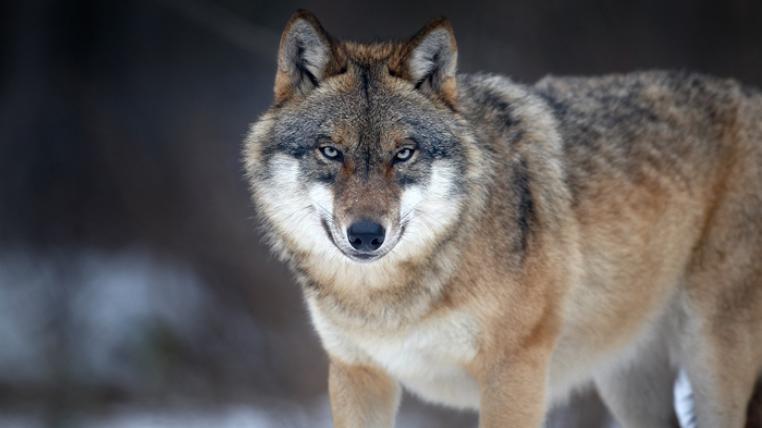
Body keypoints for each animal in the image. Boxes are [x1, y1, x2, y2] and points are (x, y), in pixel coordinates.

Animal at [244, 10, 762, 428]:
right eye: (331, 152)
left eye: (404, 153)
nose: (367, 236)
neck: (390, 301)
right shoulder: (357, 373)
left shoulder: (514, 370)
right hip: (627, 382)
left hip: (709, 358)